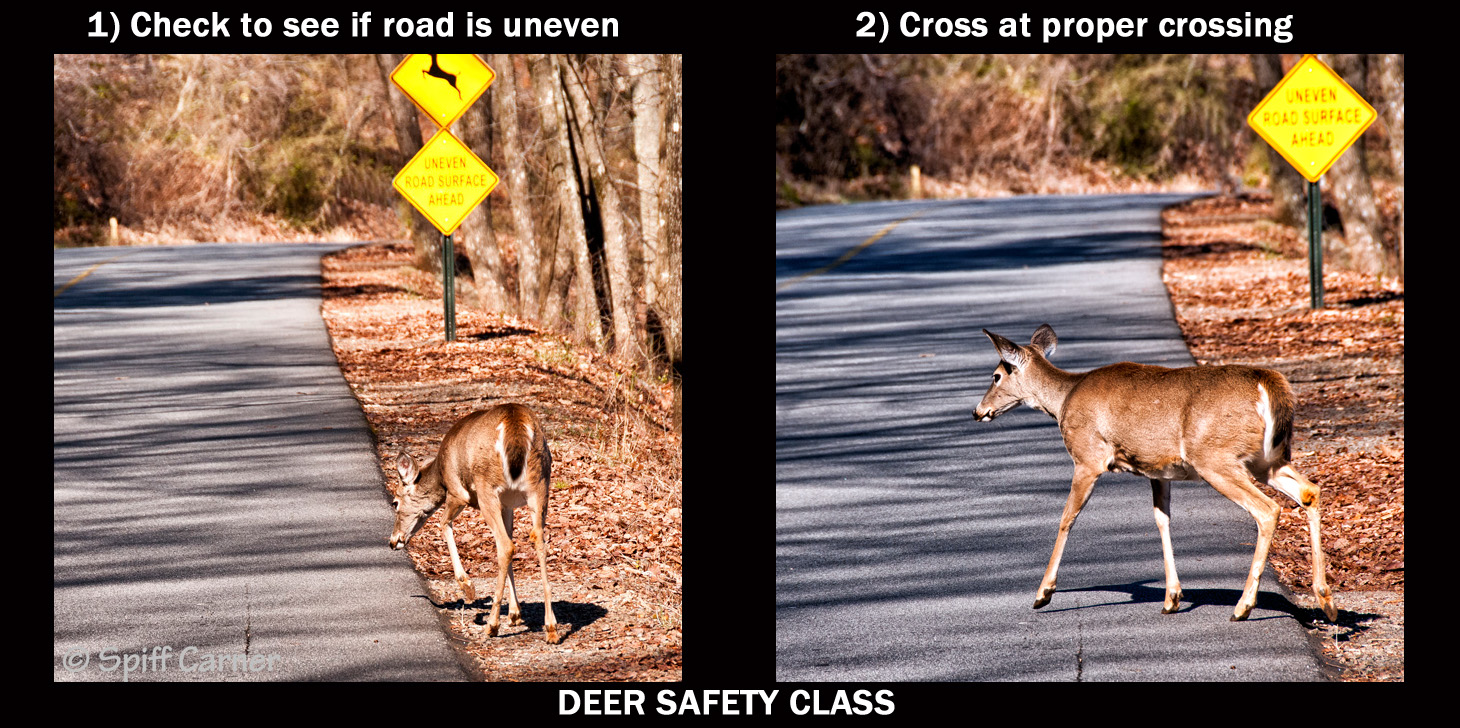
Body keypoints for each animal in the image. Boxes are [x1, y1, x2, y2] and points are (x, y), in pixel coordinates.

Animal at [388, 404, 562, 643]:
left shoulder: (457, 492)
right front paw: (515, 614)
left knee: (505, 545)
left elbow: (443, 523)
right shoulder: (507, 504)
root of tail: (515, 426)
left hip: (486, 486)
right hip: (541, 483)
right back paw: (551, 628)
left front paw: (468, 586)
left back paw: (492, 625)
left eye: (395, 502)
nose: (393, 541)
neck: (440, 474)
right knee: (536, 539)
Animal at [973, 324, 1337, 623]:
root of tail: (1268, 384)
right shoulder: (1158, 469)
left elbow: (1067, 518)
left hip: (1215, 457)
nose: (978, 411)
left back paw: (1243, 607)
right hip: (1267, 459)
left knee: (1267, 509)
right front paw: (1171, 598)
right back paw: (1326, 602)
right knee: (1310, 491)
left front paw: (1043, 593)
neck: (1064, 400)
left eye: (996, 375)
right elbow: (1162, 520)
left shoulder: (1088, 458)